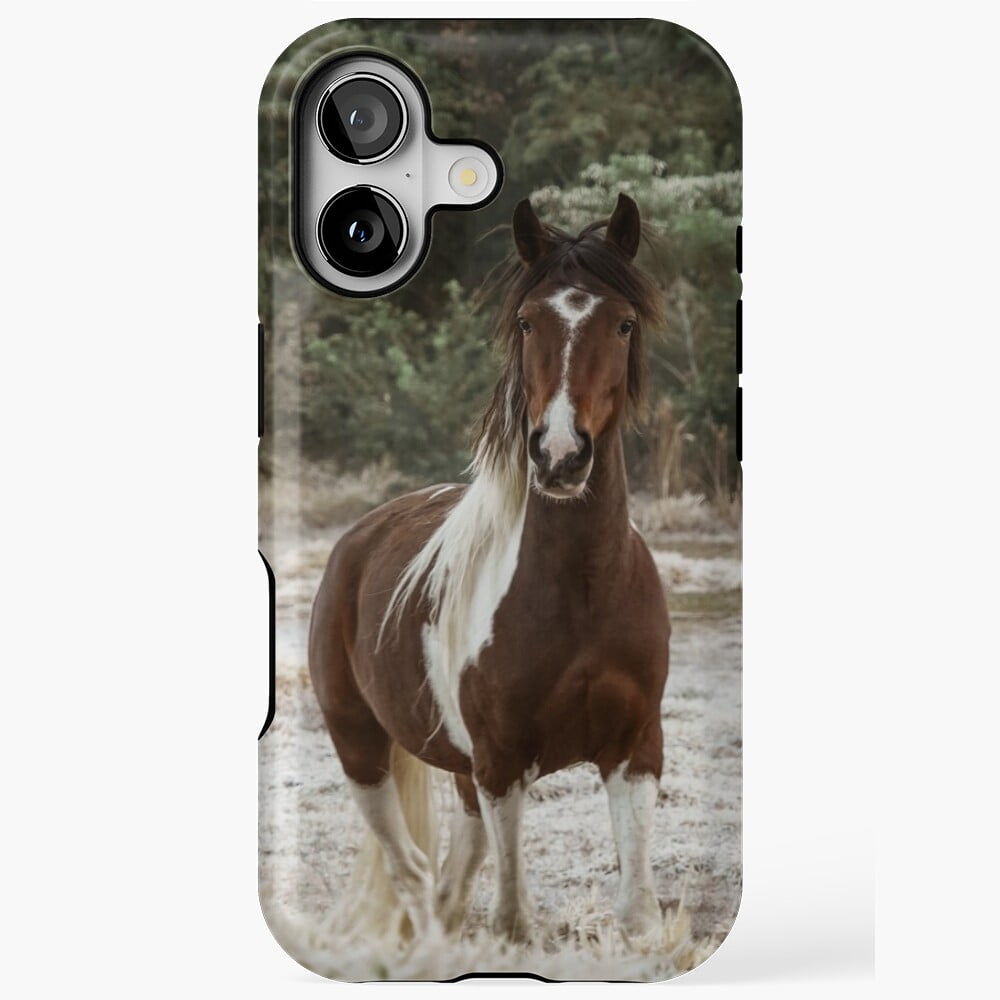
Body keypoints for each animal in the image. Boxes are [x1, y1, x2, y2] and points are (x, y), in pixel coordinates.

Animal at [308, 194, 670, 944]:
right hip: (362, 751)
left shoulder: (636, 752)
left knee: (452, 874)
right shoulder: (503, 765)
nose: (560, 456)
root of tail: (359, 537)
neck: (581, 592)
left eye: (622, 324)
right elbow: (512, 919)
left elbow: (637, 912)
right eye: (528, 321)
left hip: (461, 770)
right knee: (413, 874)